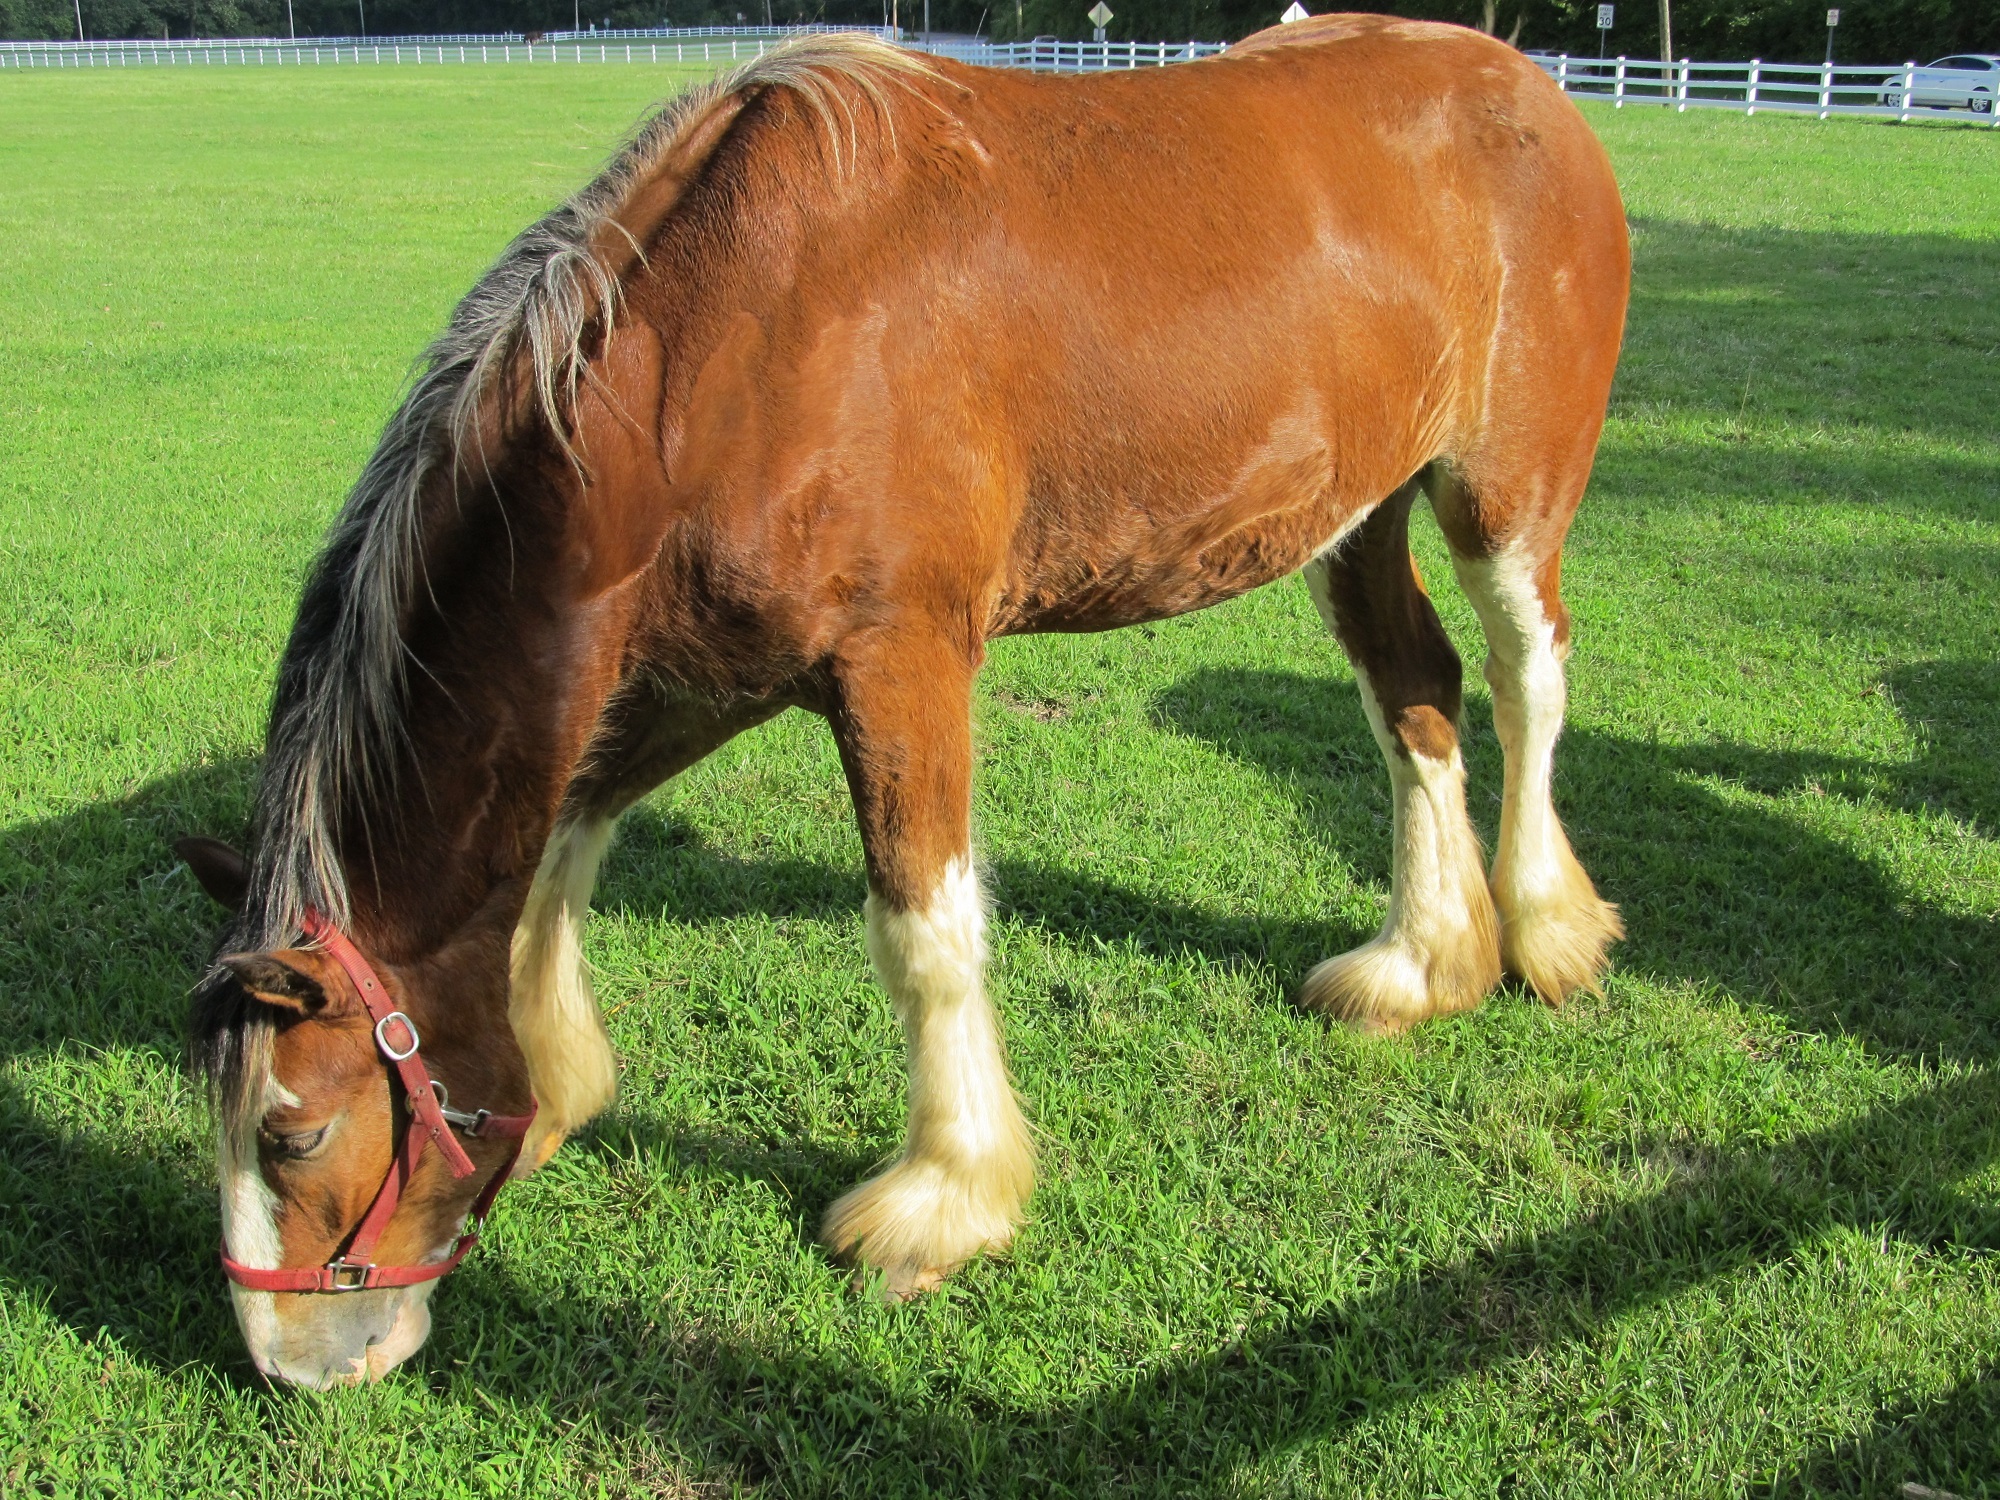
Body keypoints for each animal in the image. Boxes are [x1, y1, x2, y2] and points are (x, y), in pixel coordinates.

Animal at [174, 17, 1629, 1387]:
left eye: (291, 1130)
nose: (290, 1366)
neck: (727, 345)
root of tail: (1530, 87)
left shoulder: (900, 665)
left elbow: (923, 931)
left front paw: (944, 1198)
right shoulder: (717, 666)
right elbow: (569, 830)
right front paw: (562, 1071)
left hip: (1502, 497)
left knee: (1527, 679)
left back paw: (1548, 930)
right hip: (1353, 519)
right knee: (1415, 700)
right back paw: (1421, 963)